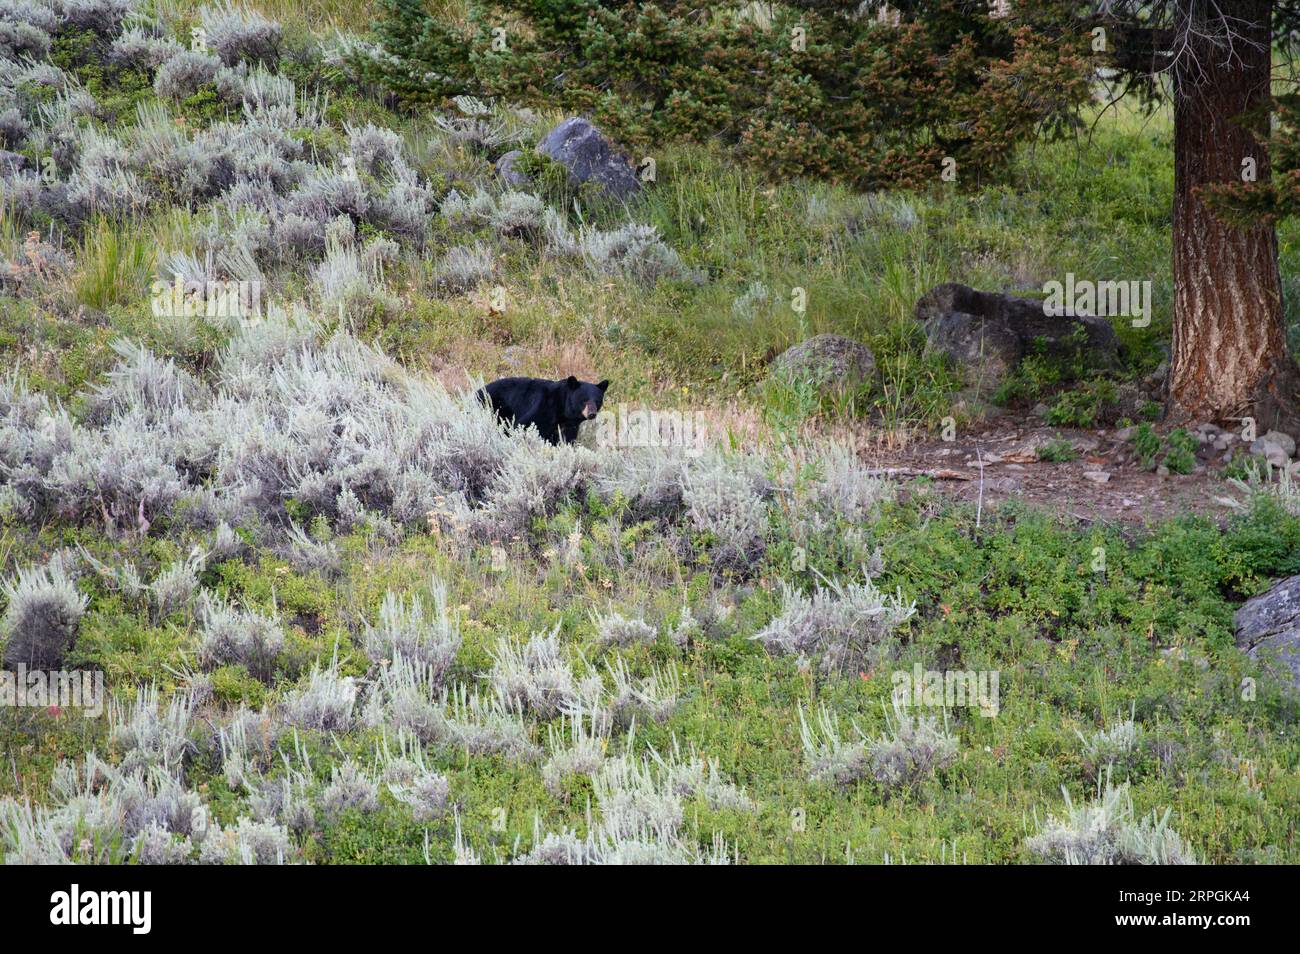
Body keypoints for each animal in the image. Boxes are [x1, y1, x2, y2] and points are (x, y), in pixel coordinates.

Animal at [477, 375, 610, 445]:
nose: (592, 414)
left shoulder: (569, 425)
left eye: (597, 401)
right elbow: (523, 425)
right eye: (584, 400)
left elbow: (567, 439)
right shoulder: (543, 407)